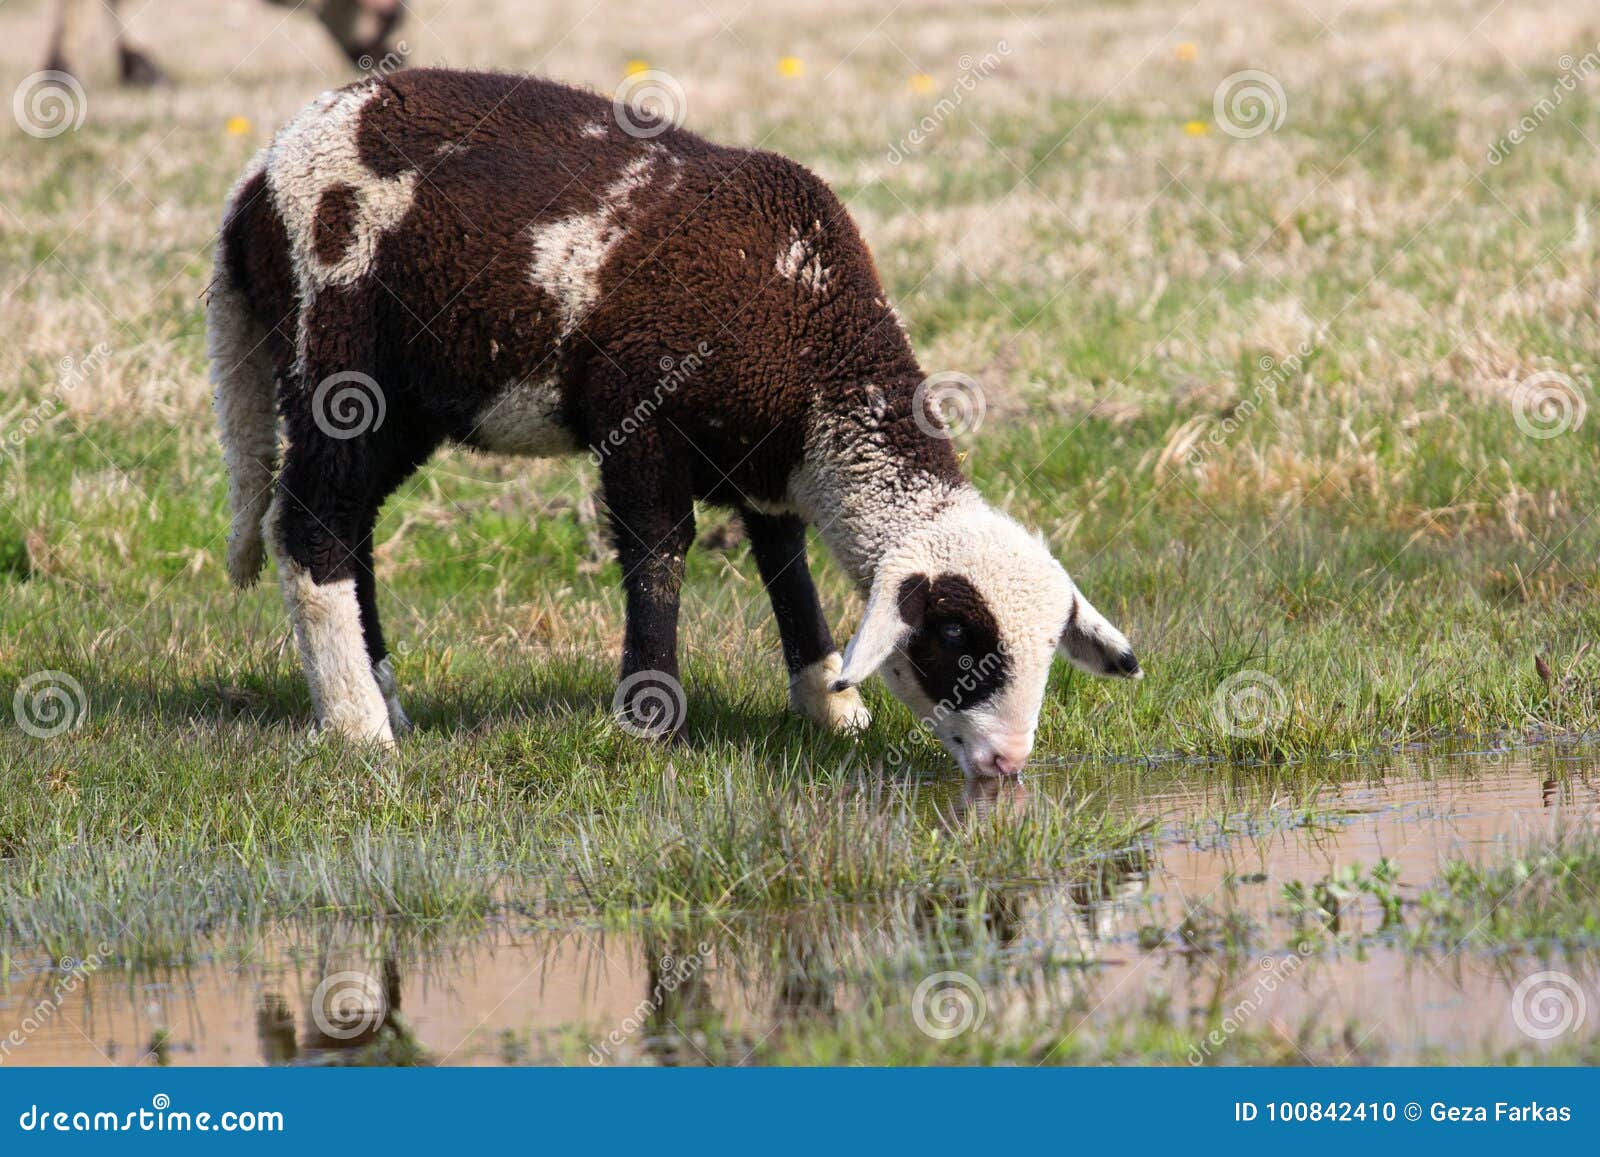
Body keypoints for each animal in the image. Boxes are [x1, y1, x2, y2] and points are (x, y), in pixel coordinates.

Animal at [209, 68, 1141, 778]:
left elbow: (784, 563)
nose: (1007, 763)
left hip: (406, 401)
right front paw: (648, 723)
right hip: (337, 356)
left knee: (352, 519)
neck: (813, 350)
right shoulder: (641, 421)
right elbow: (659, 553)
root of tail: (253, 187)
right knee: (312, 523)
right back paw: (358, 725)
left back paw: (387, 696)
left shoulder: (766, 458)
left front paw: (828, 702)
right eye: (954, 633)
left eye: (1050, 649)